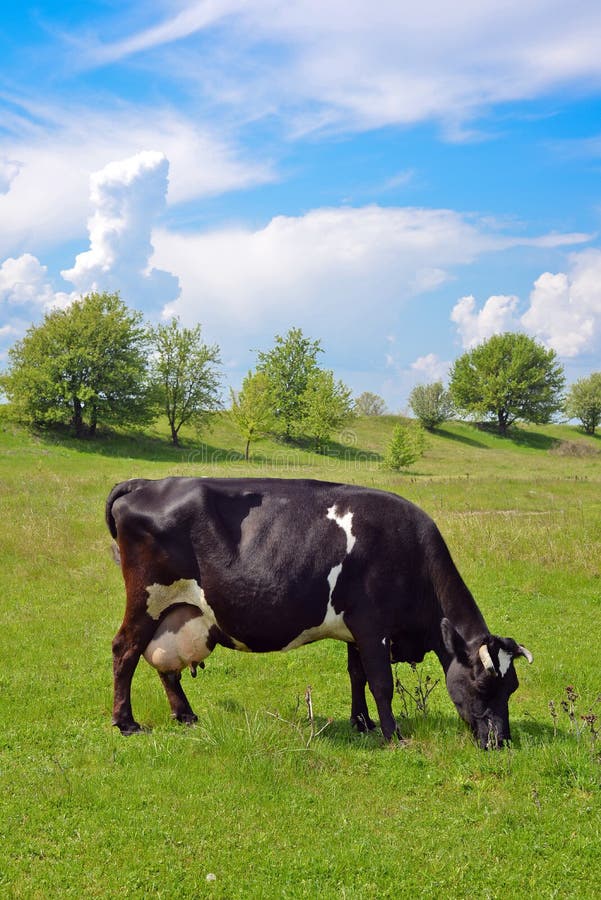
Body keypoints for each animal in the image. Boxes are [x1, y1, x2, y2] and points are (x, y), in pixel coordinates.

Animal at [106, 476, 533, 748]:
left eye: (511, 688)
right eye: (483, 685)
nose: (501, 742)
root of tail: (147, 483)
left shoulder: (356, 630)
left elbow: (357, 675)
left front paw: (362, 723)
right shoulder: (372, 626)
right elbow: (381, 682)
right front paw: (393, 735)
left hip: (176, 612)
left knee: (165, 665)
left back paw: (185, 715)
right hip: (148, 598)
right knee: (125, 650)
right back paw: (126, 723)